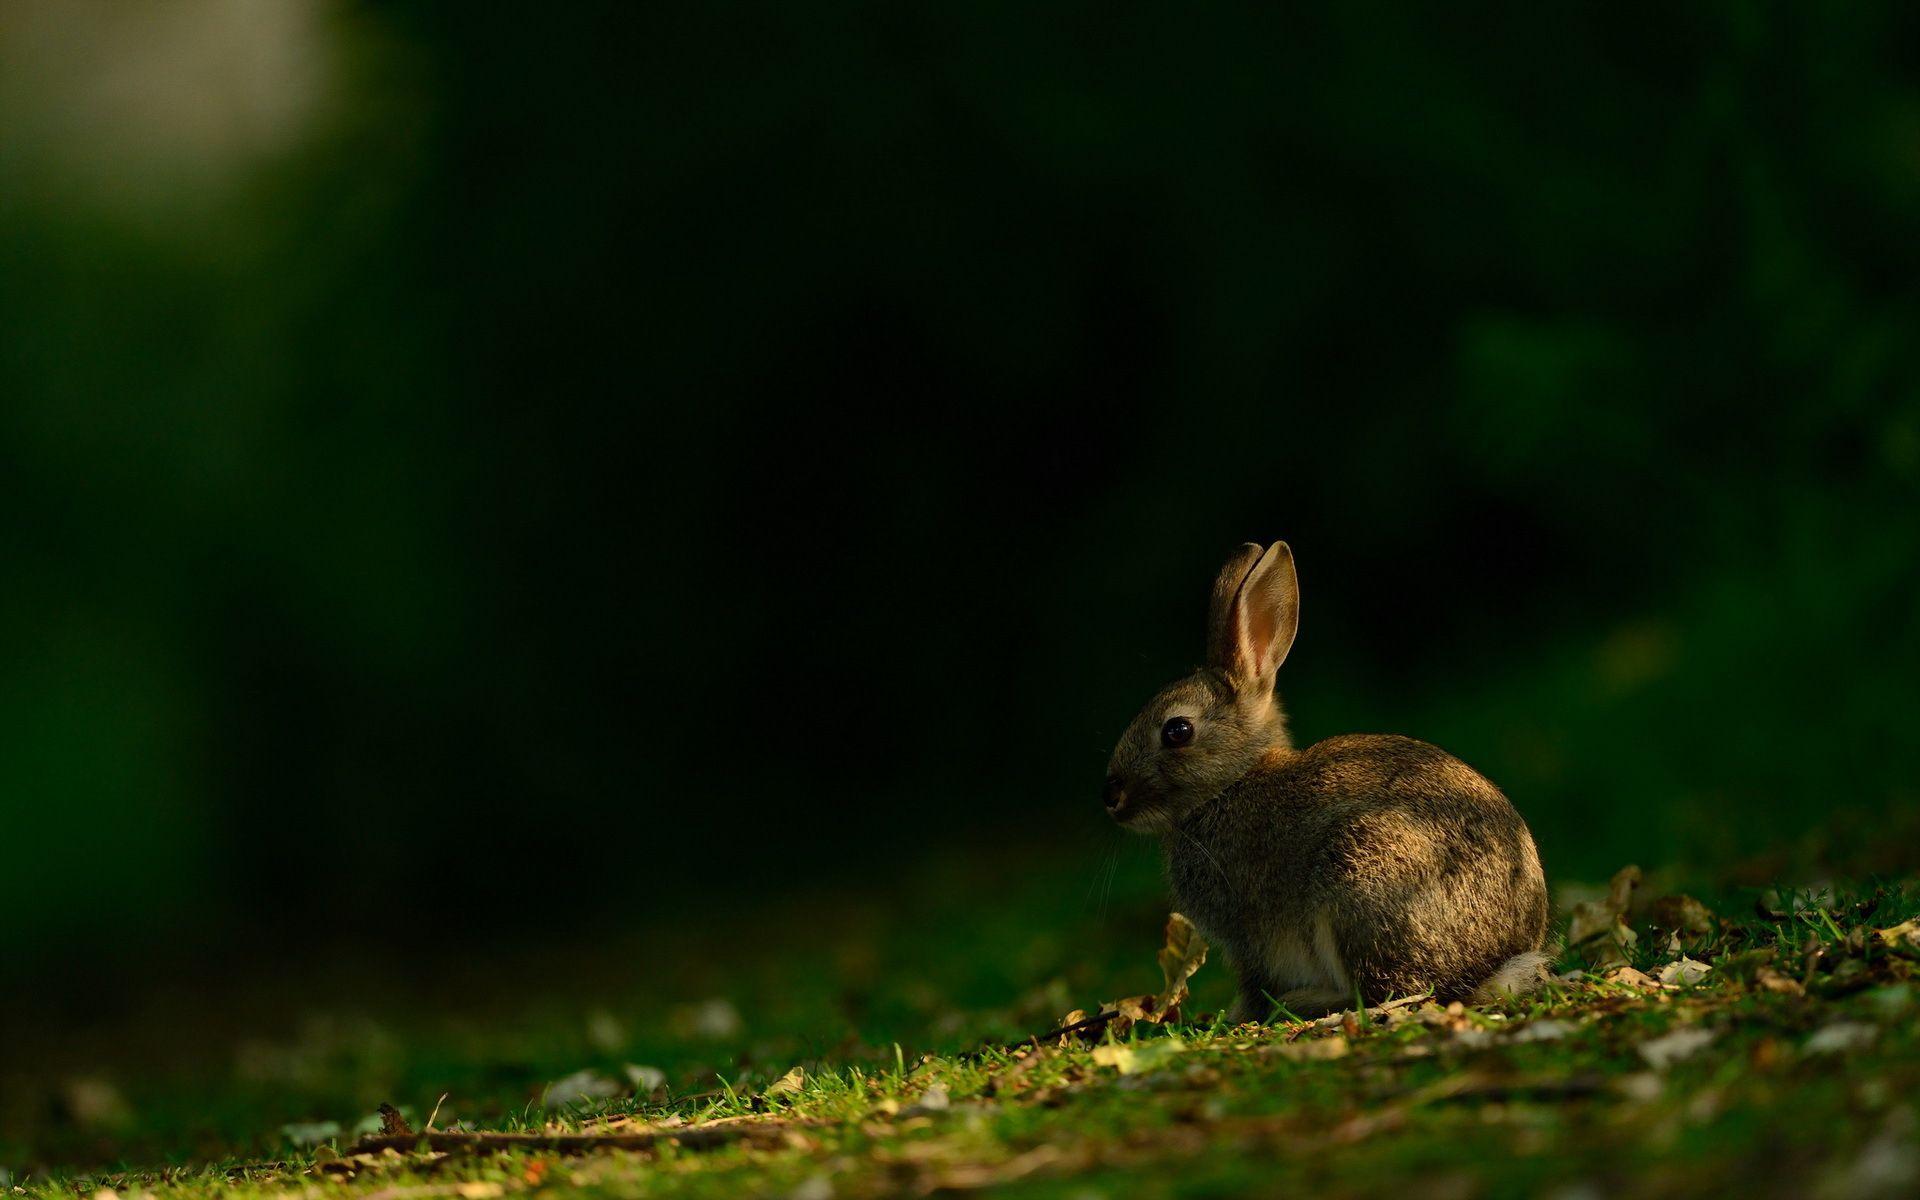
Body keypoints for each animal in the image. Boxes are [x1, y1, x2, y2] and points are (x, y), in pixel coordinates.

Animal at [1103, 541, 1549, 1022]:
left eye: (1177, 731)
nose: (1110, 795)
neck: (1231, 784)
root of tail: (1494, 964)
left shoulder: (1249, 937)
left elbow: (1254, 982)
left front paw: (1239, 1014)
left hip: (1361, 882)